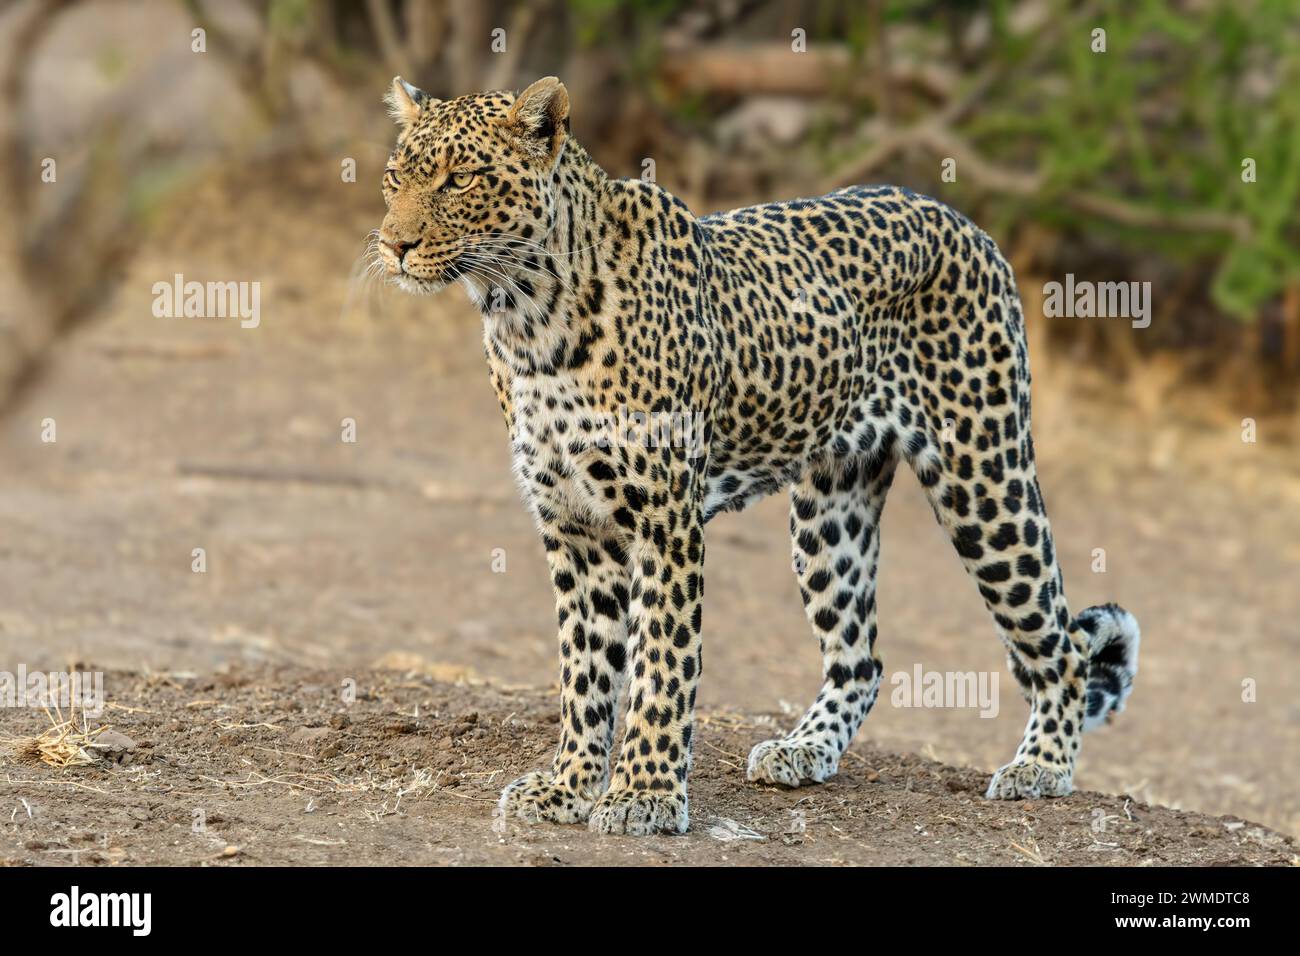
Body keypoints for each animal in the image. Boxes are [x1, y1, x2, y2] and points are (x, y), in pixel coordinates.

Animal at [375, 75, 1141, 836]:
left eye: (459, 179)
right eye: (394, 178)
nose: (393, 244)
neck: (528, 317)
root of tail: (965, 221)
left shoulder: (665, 521)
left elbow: (661, 664)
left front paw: (644, 794)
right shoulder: (574, 526)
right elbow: (585, 667)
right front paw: (569, 786)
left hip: (983, 479)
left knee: (1062, 645)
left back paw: (1040, 766)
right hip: (830, 512)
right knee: (861, 655)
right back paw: (805, 750)